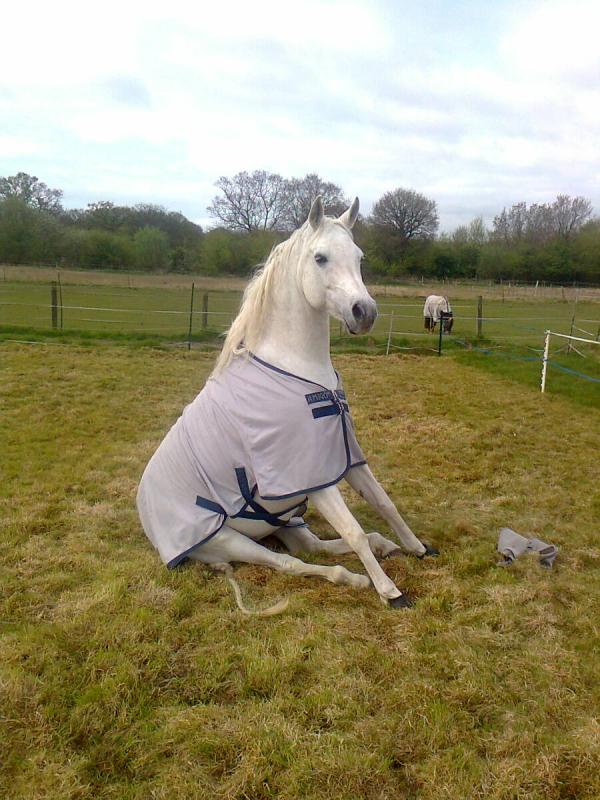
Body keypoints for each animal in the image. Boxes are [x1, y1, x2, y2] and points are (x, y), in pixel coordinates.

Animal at [137, 196, 438, 614]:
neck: (298, 369)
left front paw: (418, 548)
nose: (365, 313)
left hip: (287, 522)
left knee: (313, 546)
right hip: (229, 541)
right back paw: (355, 578)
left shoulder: (345, 457)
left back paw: (385, 546)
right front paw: (391, 592)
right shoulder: (312, 476)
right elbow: (354, 531)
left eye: (359, 257)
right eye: (320, 257)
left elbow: (384, 504)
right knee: (290, 563)